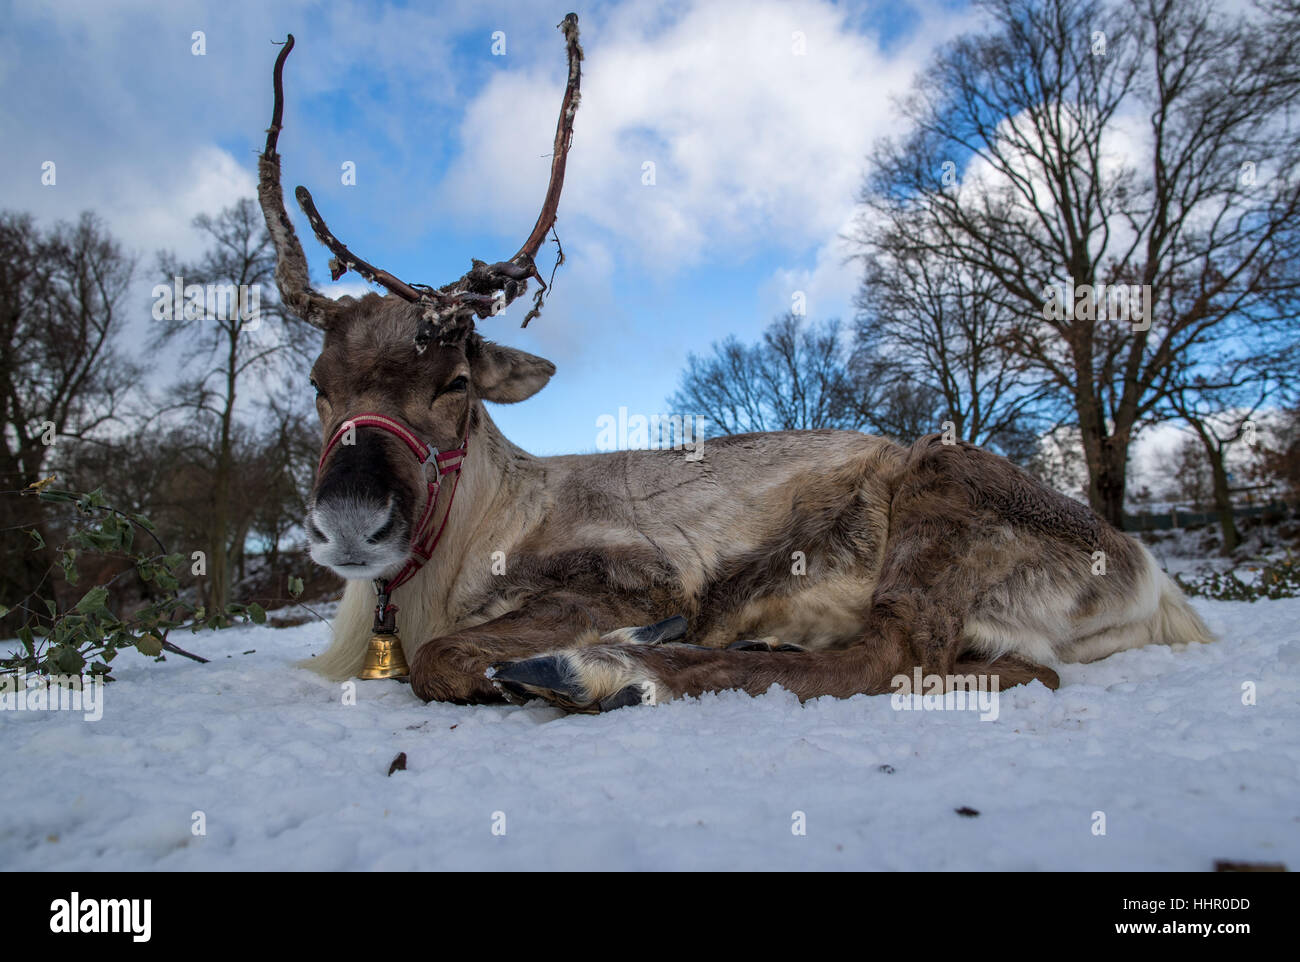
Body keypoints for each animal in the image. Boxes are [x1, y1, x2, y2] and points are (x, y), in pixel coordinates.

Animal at [257, 14, 1213, 714]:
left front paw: (611, 649)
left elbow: (443, 658)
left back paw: (602, 671)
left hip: (940, 494)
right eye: (318, 386)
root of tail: (1150, 574)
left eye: (455, 382)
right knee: (1007, 663)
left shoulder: (633, 577)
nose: (351, 518)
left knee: (898, 652)